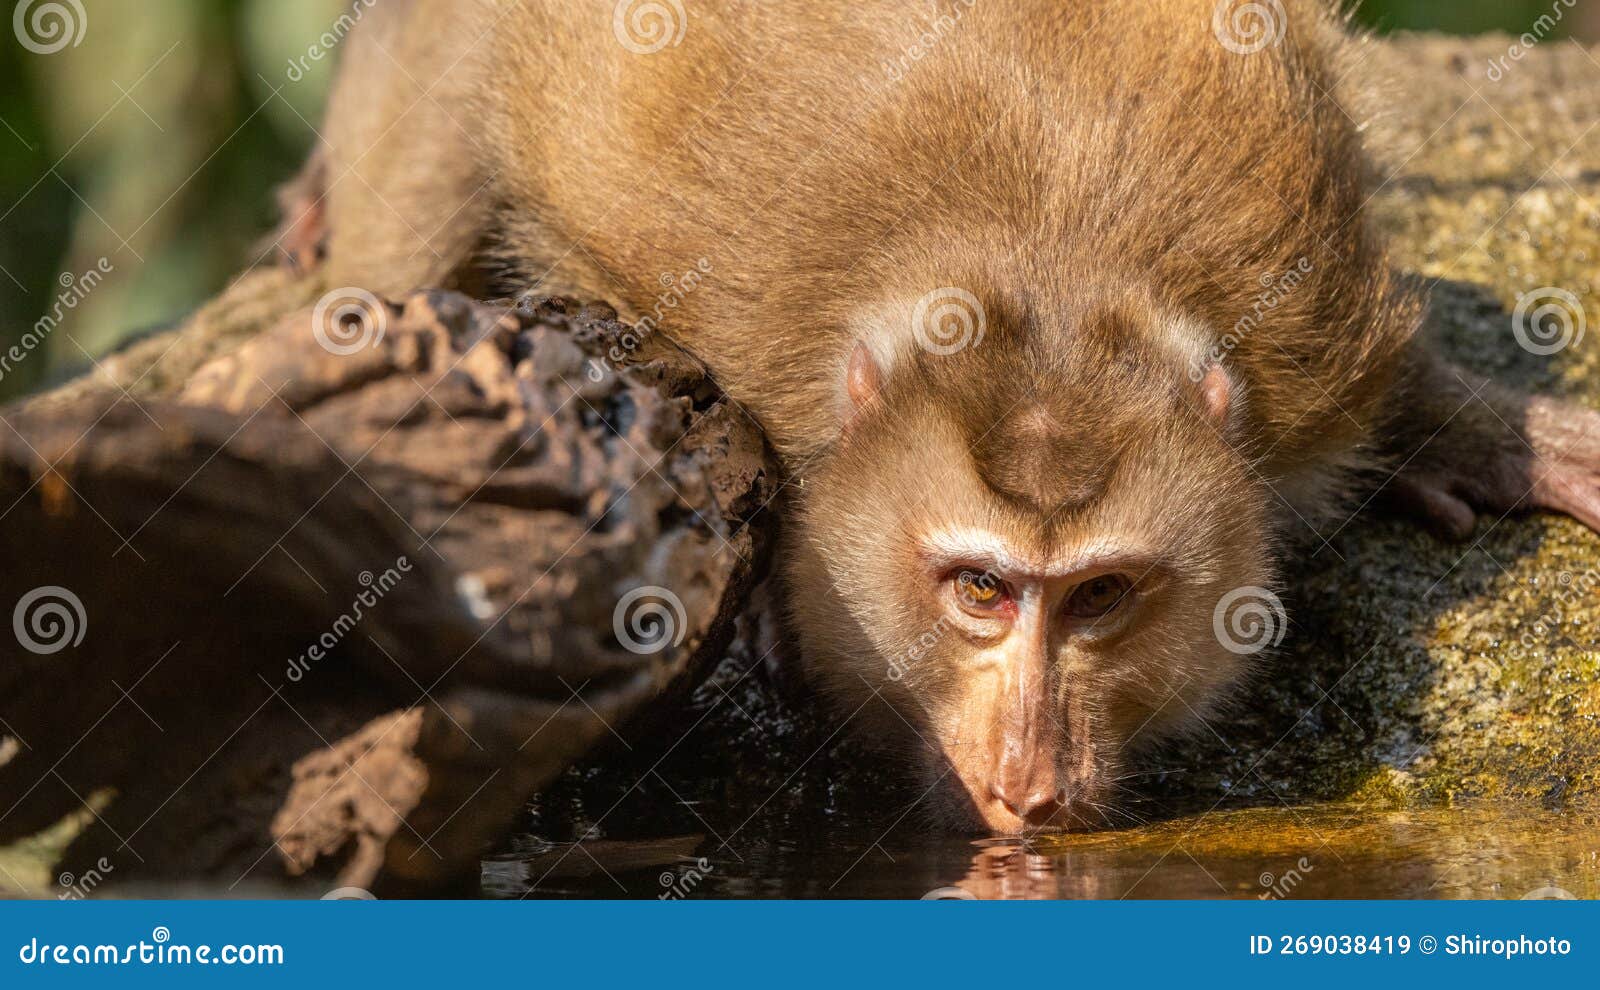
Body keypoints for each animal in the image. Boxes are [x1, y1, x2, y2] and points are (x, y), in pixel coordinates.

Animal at [284, 0, 1600, 834]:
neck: (1048, 270)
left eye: (1100, 595)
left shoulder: (1310, 299)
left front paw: (1471, 428)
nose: (1030, 781)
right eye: (980, 589)